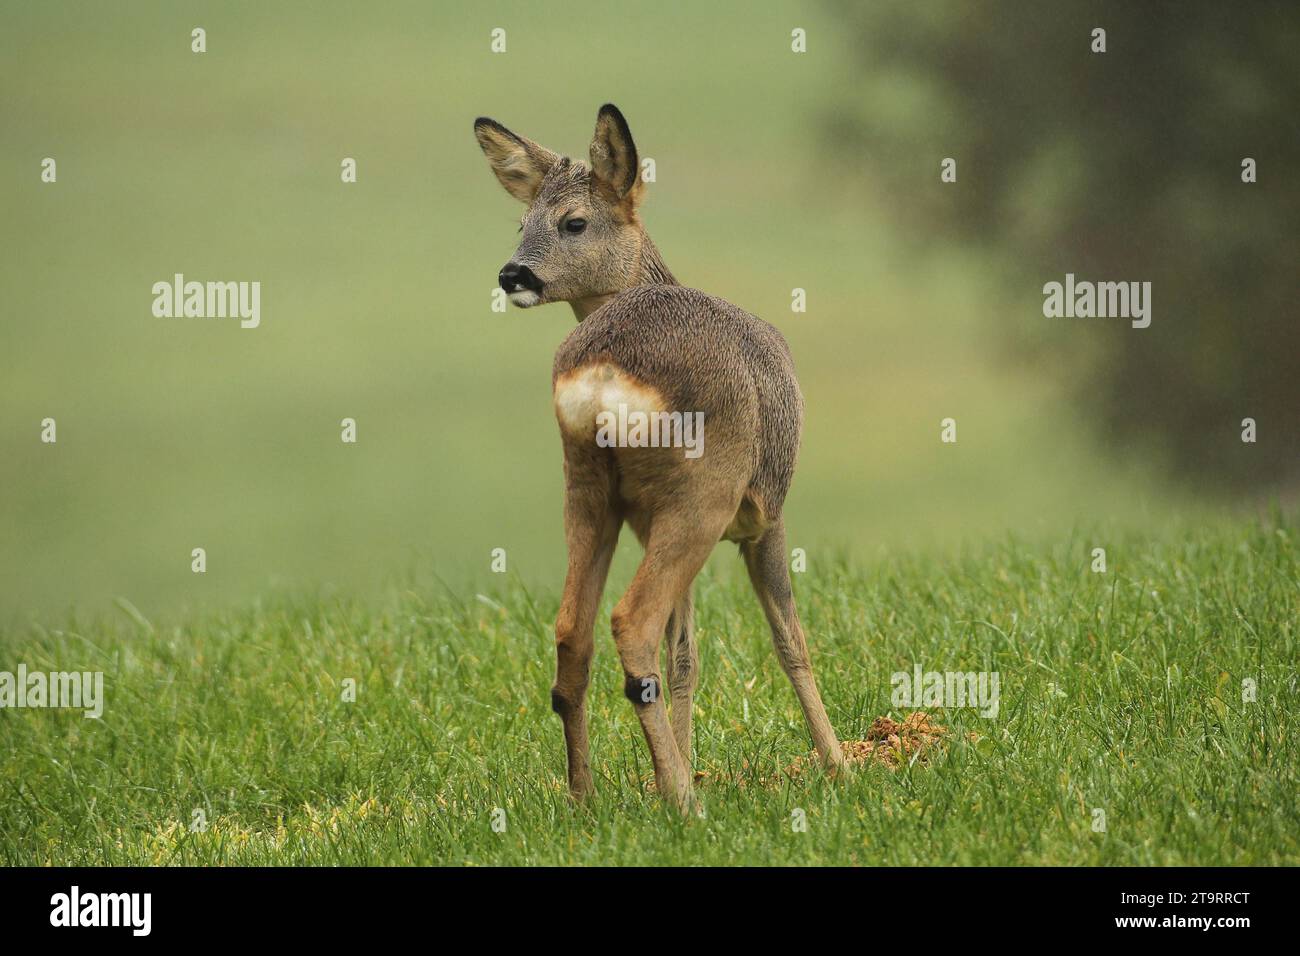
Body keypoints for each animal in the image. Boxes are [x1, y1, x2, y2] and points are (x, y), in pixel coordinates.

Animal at [473, 104, 844, 811]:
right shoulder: (767, 513)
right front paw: (841, 766)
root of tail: (602, 370)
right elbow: (789, 639)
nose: (511, 274)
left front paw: (690, 761)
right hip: (703, 493)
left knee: (573, 630)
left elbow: (686, 658)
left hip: (589, 488)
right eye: (522, 223)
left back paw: (587, 797)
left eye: (571, 222)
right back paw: (681, 801)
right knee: (630, 622)